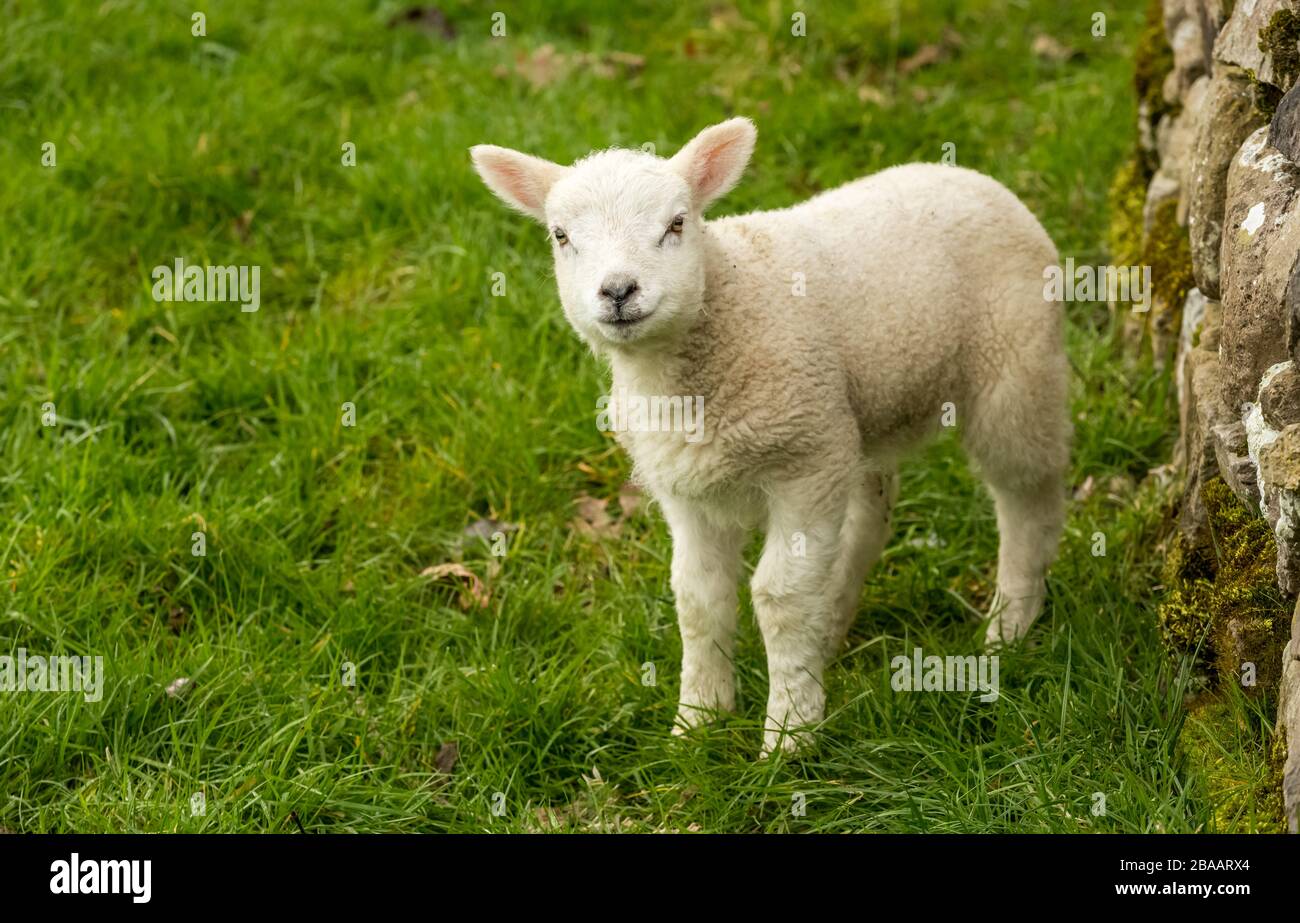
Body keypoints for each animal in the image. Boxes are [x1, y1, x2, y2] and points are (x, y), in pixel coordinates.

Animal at [471, 118, 1070, 755]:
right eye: (560, 236)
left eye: (676, 223)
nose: (618, 291)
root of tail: (970, 176)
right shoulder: (691, 489)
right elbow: (698, 599)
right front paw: (697, 723)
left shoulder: (802, 465)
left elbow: (780, 598)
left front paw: (789, 736)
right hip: (854, 415)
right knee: (869, 518)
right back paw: (832, 630)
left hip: (1014, 373)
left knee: (1029, 497)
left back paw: (1010, 624)